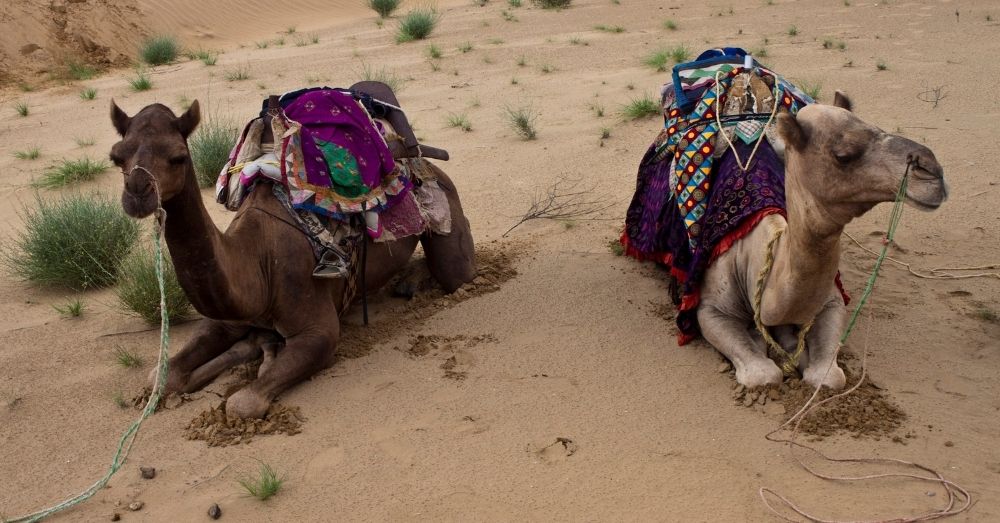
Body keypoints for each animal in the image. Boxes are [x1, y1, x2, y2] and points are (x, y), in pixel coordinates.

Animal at [109, 100, 477, 418]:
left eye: (179, 157)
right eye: (116, 157)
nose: (138, 193)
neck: (257, 260)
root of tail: (420, 155)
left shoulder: (318, 330)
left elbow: (242, 404)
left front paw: (263, 361)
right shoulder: (227, 317)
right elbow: (161, 376)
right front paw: (252, 349)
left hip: (446, 200)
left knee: (456, 272)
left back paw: (414, 282)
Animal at [696, 92, 947, 390]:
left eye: (876, 127)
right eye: (843, 155)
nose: (932, 170)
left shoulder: (831, 302)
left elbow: (829, 376)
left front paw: (794, 348)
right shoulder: (711, 308)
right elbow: (764, 374)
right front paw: (765, 343)